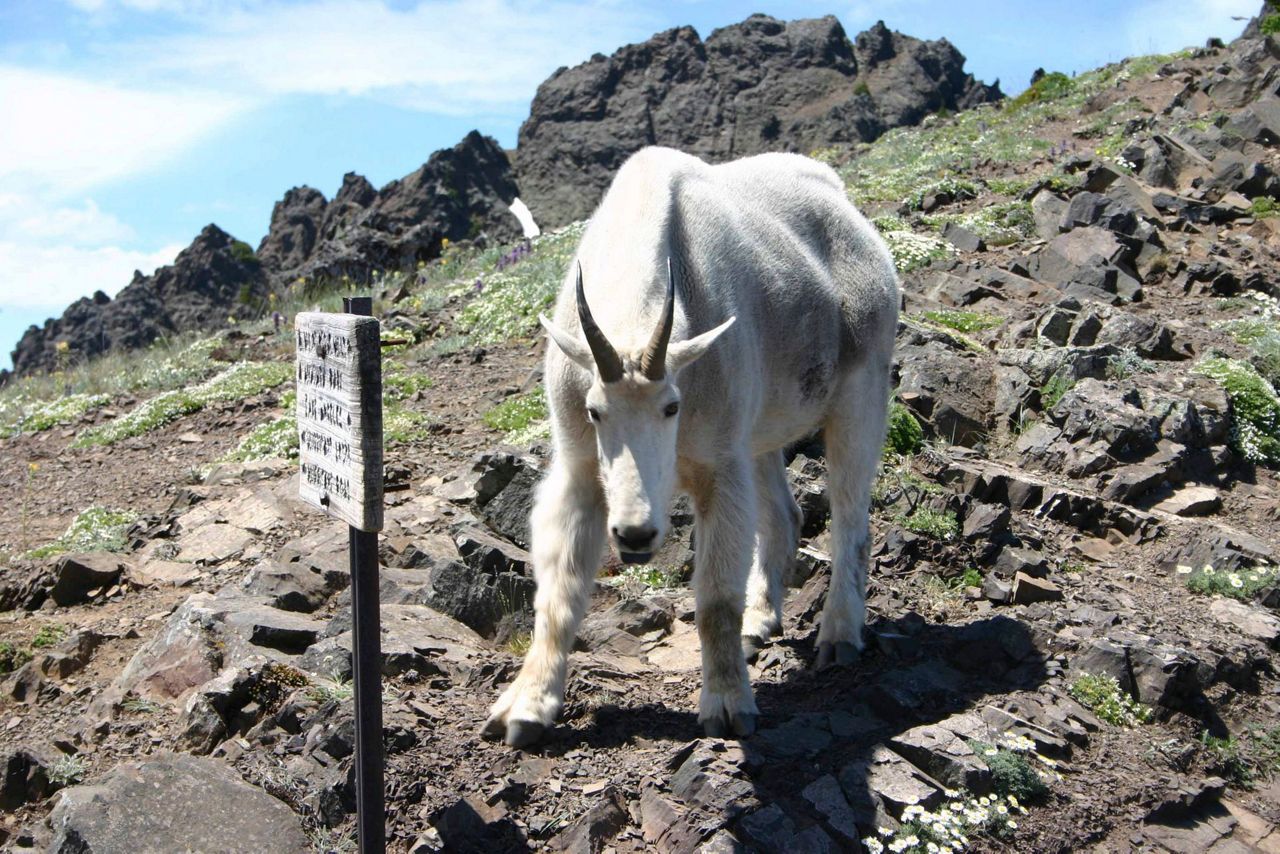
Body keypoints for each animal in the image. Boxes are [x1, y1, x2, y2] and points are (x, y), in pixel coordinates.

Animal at [482, 146, 899, 746]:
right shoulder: (581, 466)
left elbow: (715, 596)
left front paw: (727, 706)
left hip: (862, 388)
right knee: (785, 514)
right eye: (594, 410)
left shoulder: (717, 465)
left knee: (850, 517)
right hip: (760, 430)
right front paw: (527, 709)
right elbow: (560, 590)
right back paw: (760, 621)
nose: (635, 534)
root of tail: (843, 204)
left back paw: (839, 634)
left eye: (672, 408)